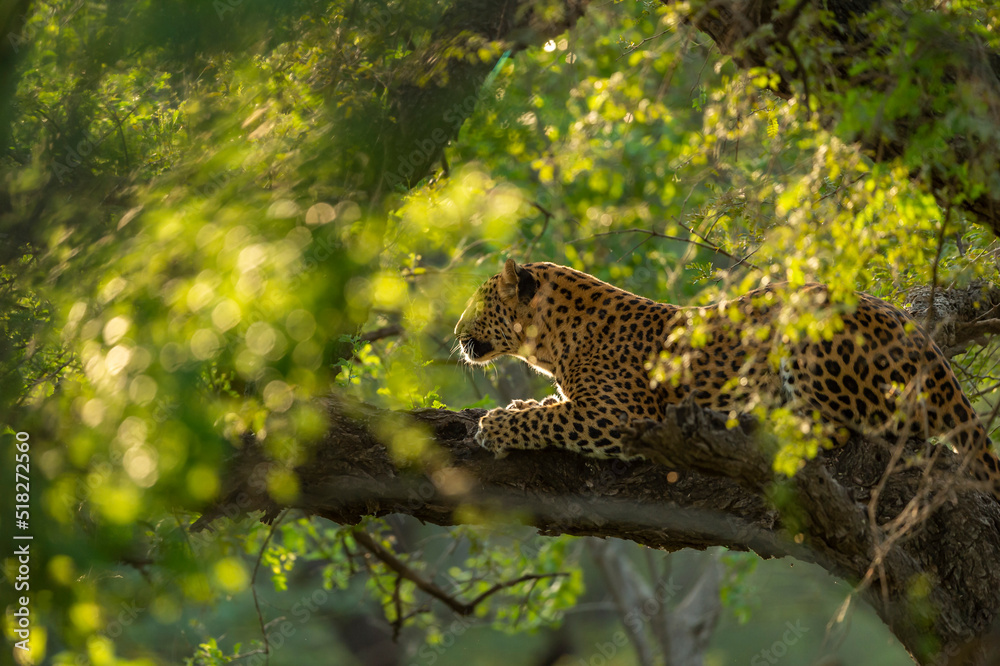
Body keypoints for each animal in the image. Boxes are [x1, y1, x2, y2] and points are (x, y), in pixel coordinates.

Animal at [454, 259, 1000, 491]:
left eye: (479, 304)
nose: (456, 334)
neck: (551, 344)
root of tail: (920, 338)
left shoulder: (621, 418)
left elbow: (550, 422)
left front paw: (495, 426)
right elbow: (550, 410)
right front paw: (524, 404)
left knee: (858, 427)